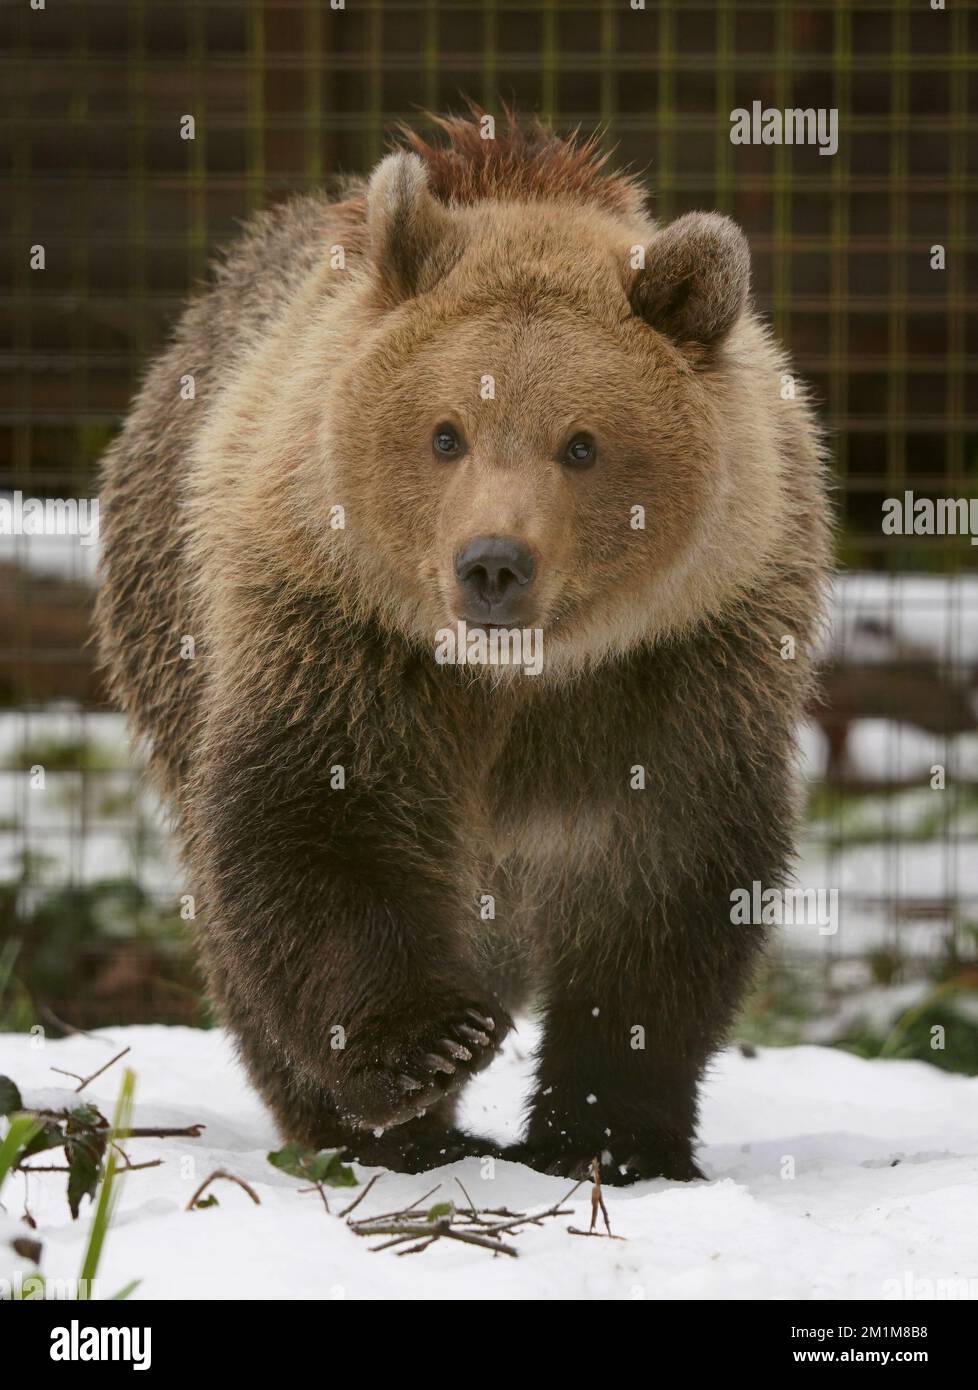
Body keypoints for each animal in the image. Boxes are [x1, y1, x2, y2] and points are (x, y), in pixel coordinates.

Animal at [96, 111, 830, 1184]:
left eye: (581, 443)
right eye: (447, 434)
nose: (492, 565)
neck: (522, 677)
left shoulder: (684, 661)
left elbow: (666, 875)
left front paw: (608, 1136)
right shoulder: (336, 631)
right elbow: (315, 822)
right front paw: (428, 1048)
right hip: (167, 624)